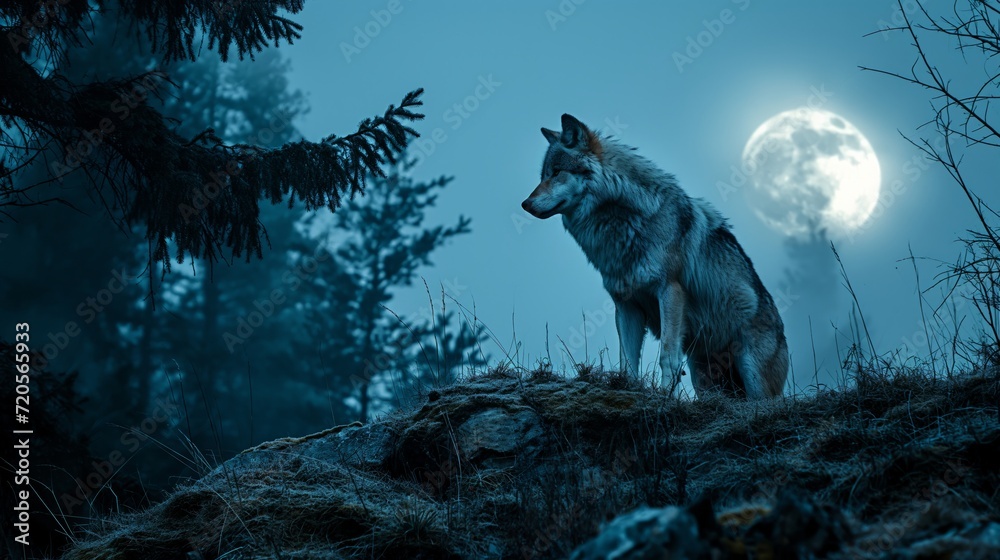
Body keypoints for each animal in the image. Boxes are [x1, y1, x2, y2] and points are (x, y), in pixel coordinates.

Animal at [521, 114, 788, 398]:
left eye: (556, 172)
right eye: (542, 176)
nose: (525, 204)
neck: (620, 225)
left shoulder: (670, 290)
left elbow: (667, 356)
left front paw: (666, 396)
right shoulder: (626, 304)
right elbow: (627, 360)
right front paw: (629, 388)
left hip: (752, 376)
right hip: (703, 377)